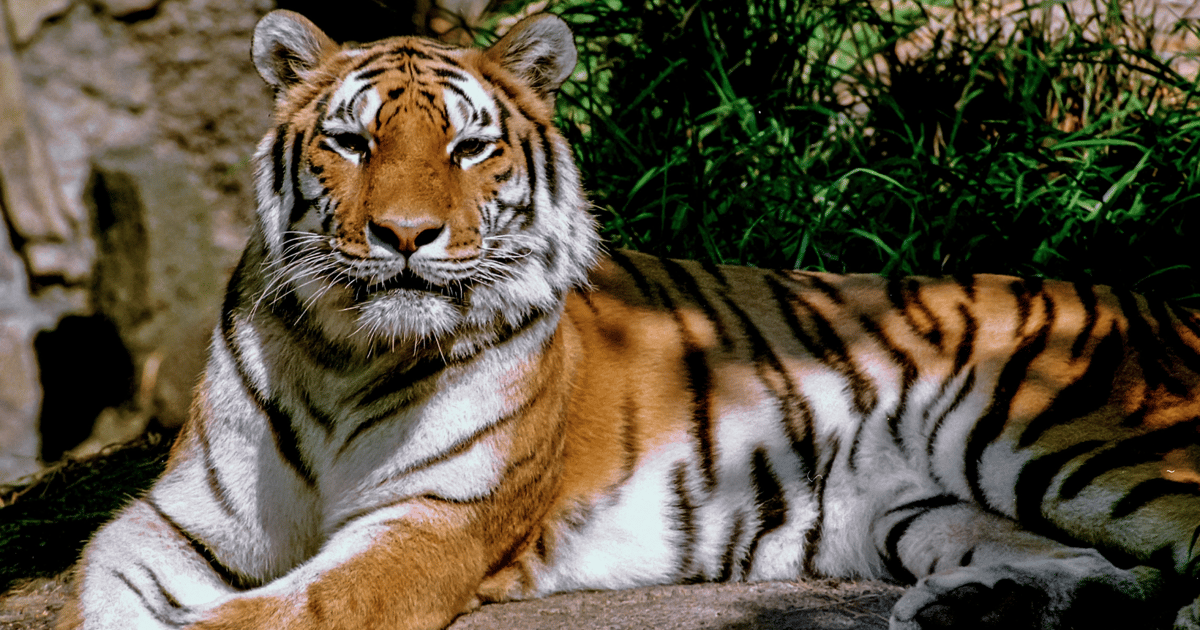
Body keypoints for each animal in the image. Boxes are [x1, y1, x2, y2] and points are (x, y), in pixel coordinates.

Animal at [57, 8, 1200, 630]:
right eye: (350, 142)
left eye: (469, 147)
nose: (406, 234)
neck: (345, 355)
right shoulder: (177, 520)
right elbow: (99, 589)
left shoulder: (432, 521)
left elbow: (289, 605)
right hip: (919, 507)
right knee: (1110, 571)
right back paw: (983, 606)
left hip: (1063, 439)